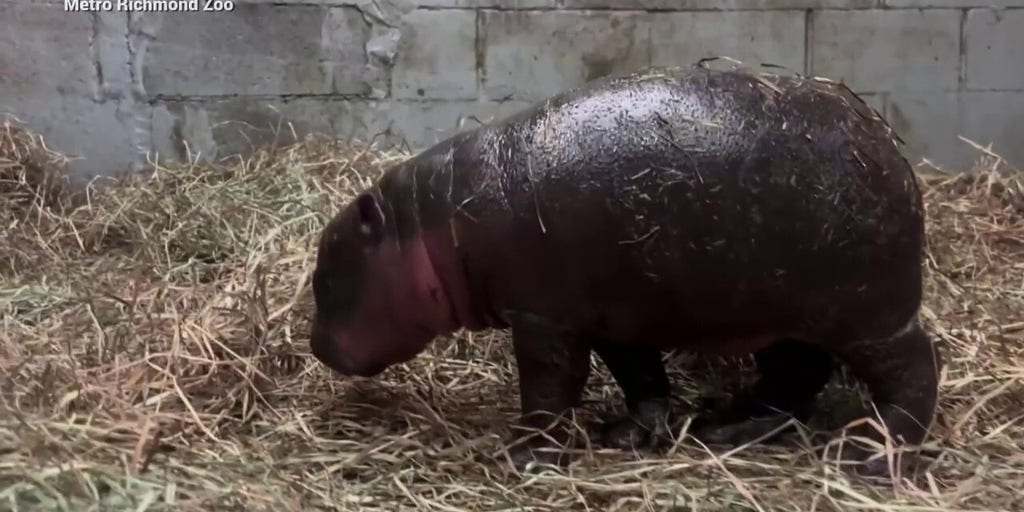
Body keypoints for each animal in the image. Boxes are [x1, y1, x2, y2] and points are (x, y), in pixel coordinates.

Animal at [308, 61, 942, 478]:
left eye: (325, 276)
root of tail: (893, 150)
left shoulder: (544, 318)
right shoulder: (613, 317)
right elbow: (640, 377)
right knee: (795, 378)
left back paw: (871, 458)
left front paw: (524, 454)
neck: (439, 222)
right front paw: (631, 435)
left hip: (868, 314)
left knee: (912, 372)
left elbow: (549, 387)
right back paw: (725, 426)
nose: (315, 347)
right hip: (785, 315)